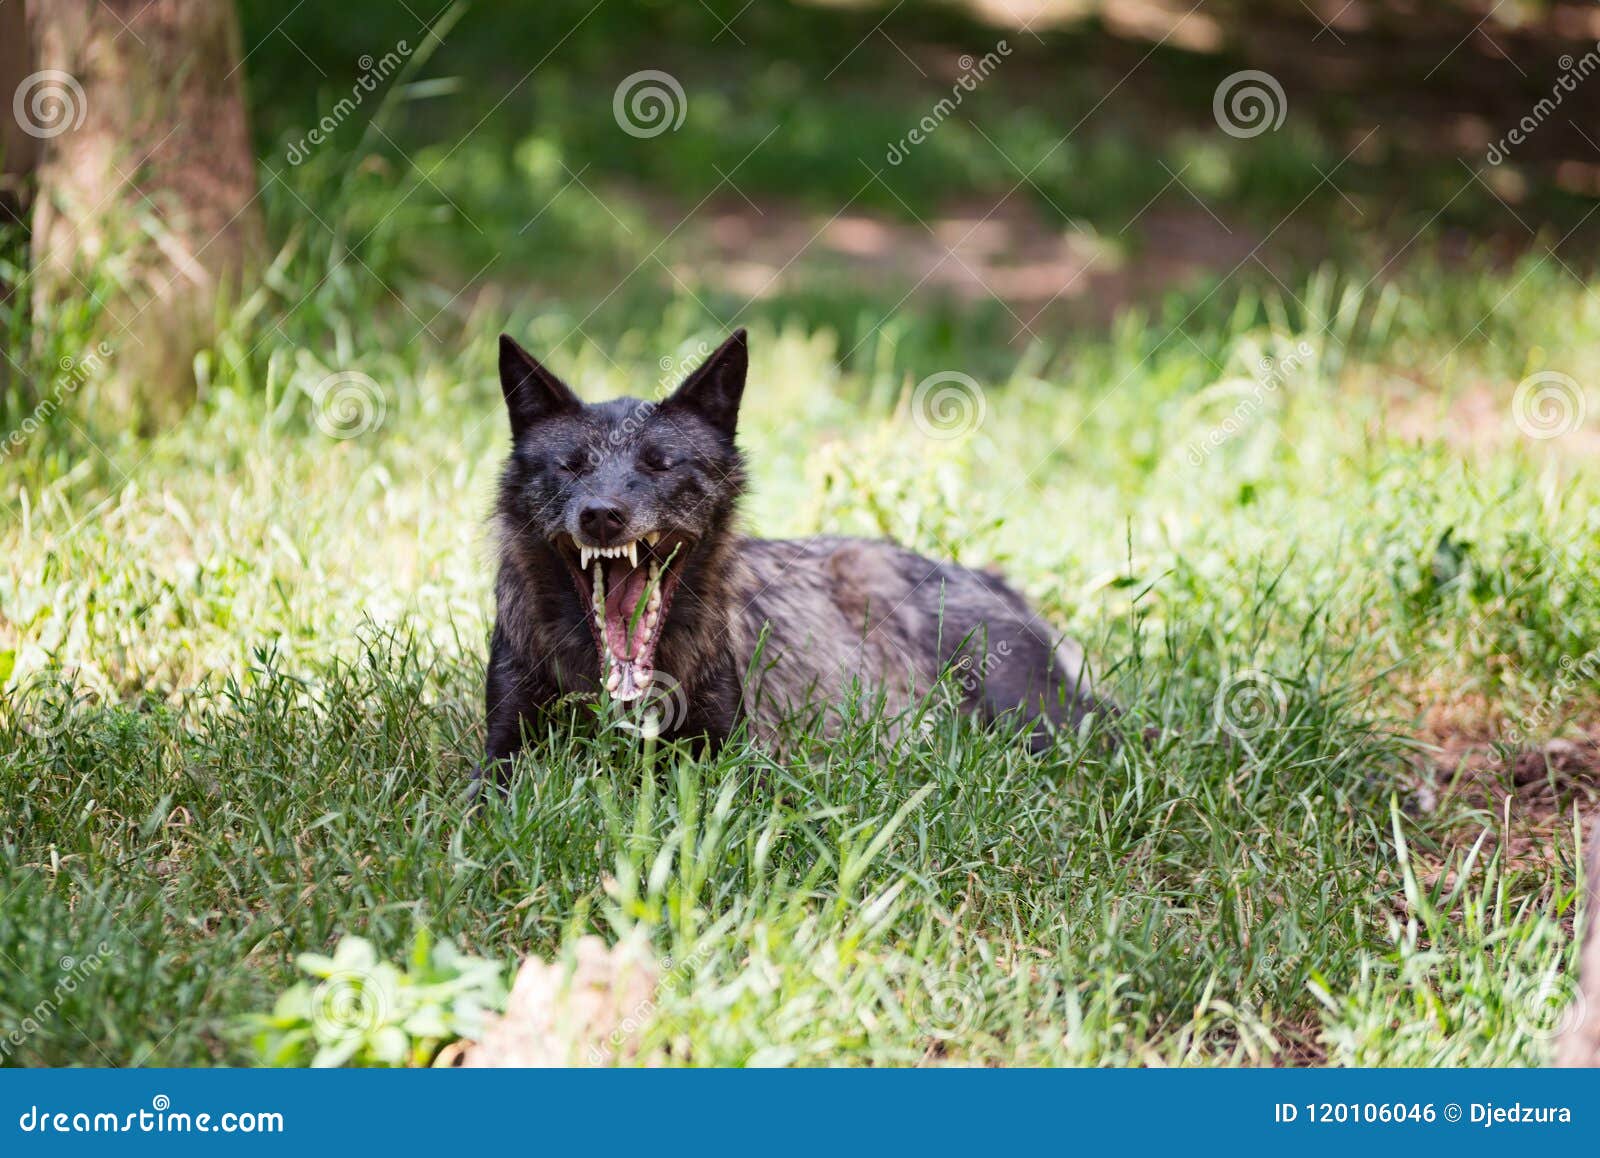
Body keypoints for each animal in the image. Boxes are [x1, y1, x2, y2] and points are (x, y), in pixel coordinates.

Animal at [478, 328, 1106, 783]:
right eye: (571, 466)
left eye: (659, 464)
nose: (602, 515)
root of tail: (993, 579)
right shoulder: (503, 753)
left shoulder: (731, 756)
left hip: (1032, 718)